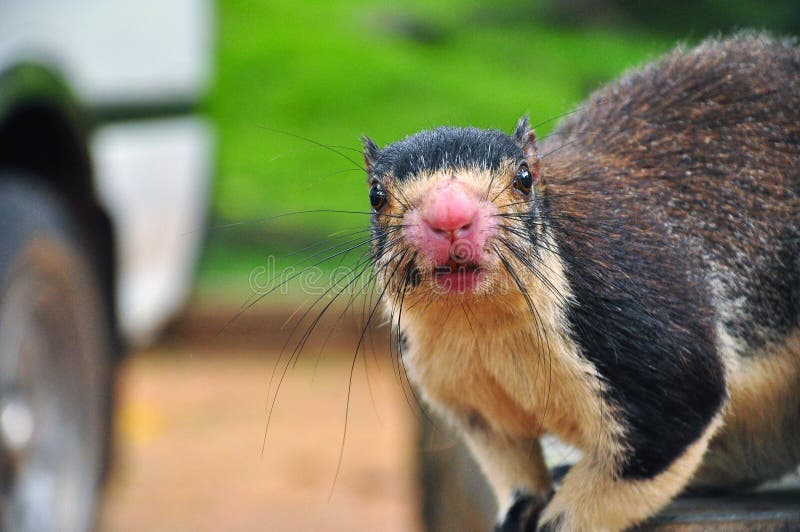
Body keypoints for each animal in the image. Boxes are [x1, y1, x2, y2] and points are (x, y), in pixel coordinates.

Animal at [359, 34, 800, 531]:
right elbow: (513, 470)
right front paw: (519, 510)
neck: (485, 334)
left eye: (524, 178)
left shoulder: (652, 348)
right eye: (375, 194)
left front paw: (559, 516)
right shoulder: (471, 401)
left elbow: (639, 460)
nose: (450, 217)